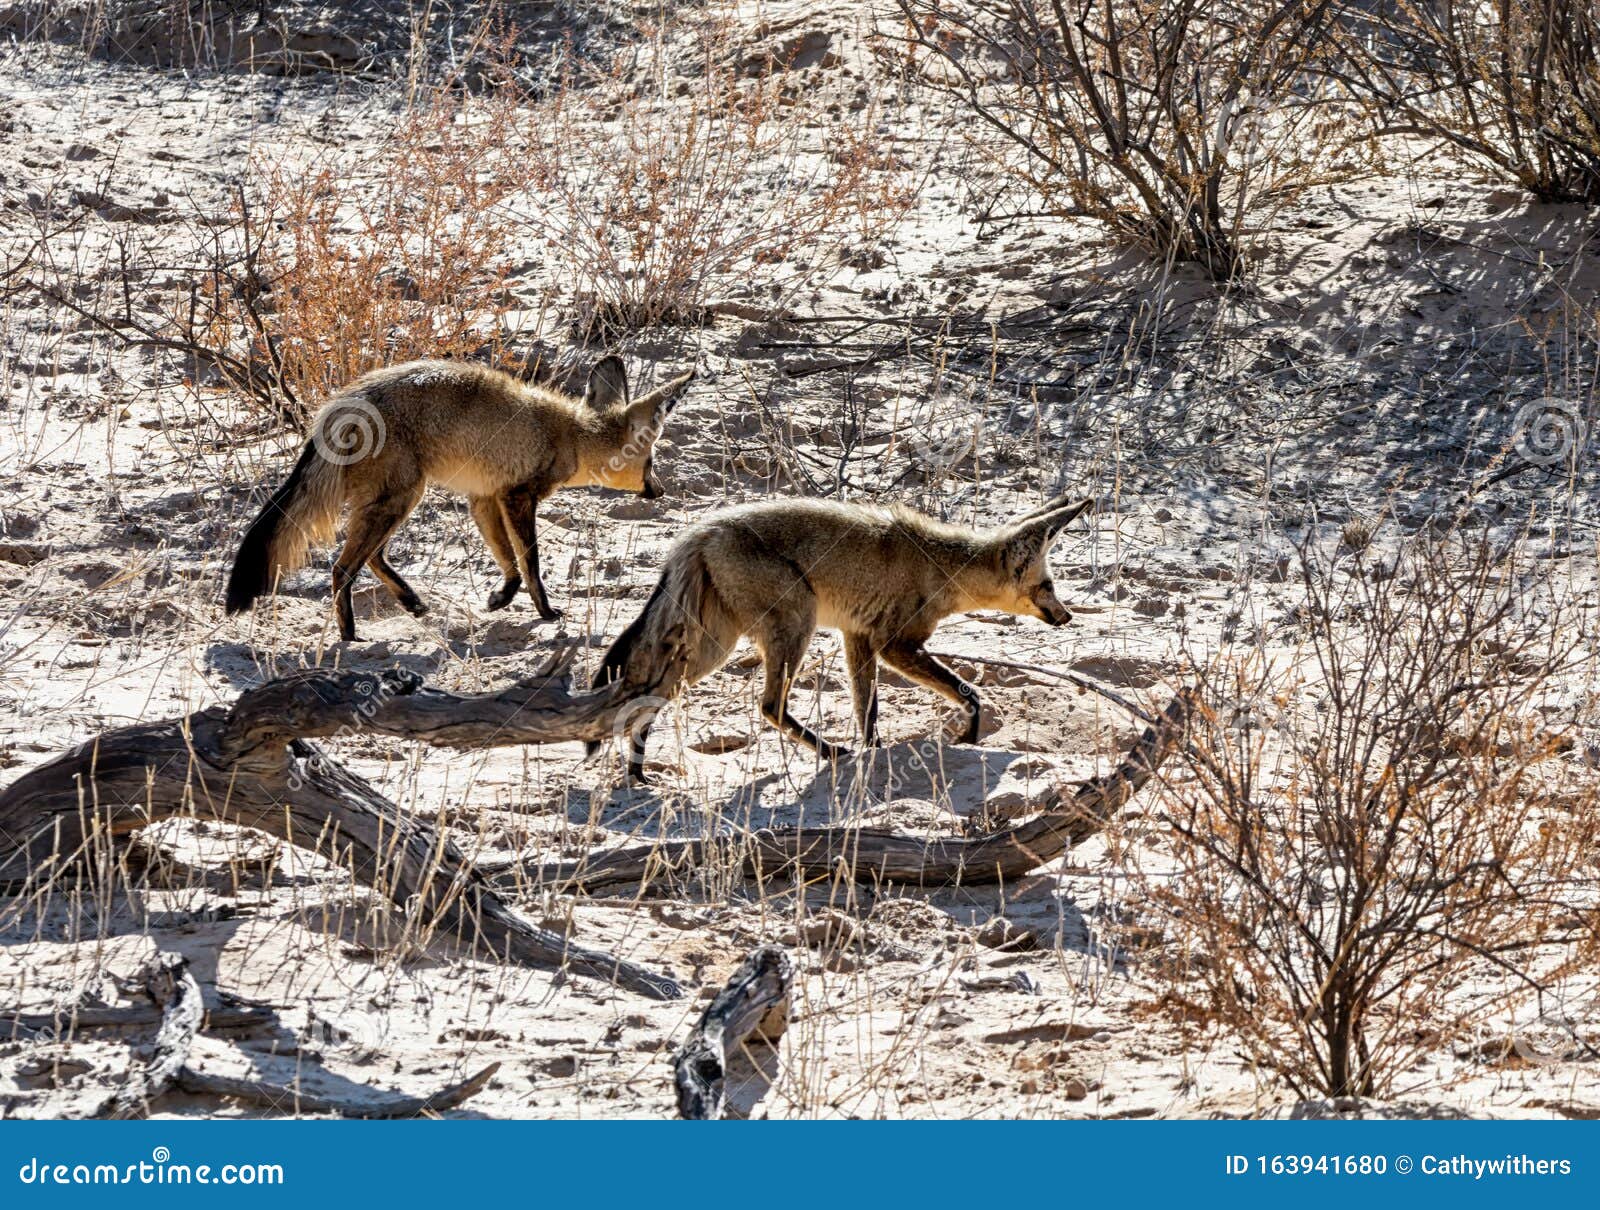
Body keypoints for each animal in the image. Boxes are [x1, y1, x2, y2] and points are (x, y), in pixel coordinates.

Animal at [224, 355, 694, 641]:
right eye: (652, 461)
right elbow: (531, 563)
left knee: (372, 557)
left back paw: (411, 602)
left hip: (396, 501)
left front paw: (501, 598)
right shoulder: (518, 496)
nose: (661, 491)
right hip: (401, 498)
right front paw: (545, 612)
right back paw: (350, 636)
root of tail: (341, 403)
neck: (572, 435)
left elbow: (510, 564)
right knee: (343, 568)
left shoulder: (484, 499)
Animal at [587, 493, 1094, 782]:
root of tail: (697, 532)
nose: (1067, 615)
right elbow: (968, 691)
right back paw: (830, 752)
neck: (941, 564)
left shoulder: (859, 637)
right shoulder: (894, 644)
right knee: (769, 706)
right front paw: (968, 734)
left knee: (647, 695)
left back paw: (636, 768)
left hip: (714, 647)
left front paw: (874, 751)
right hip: (796, 624)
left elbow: (866, 707)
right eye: (1048, 586)